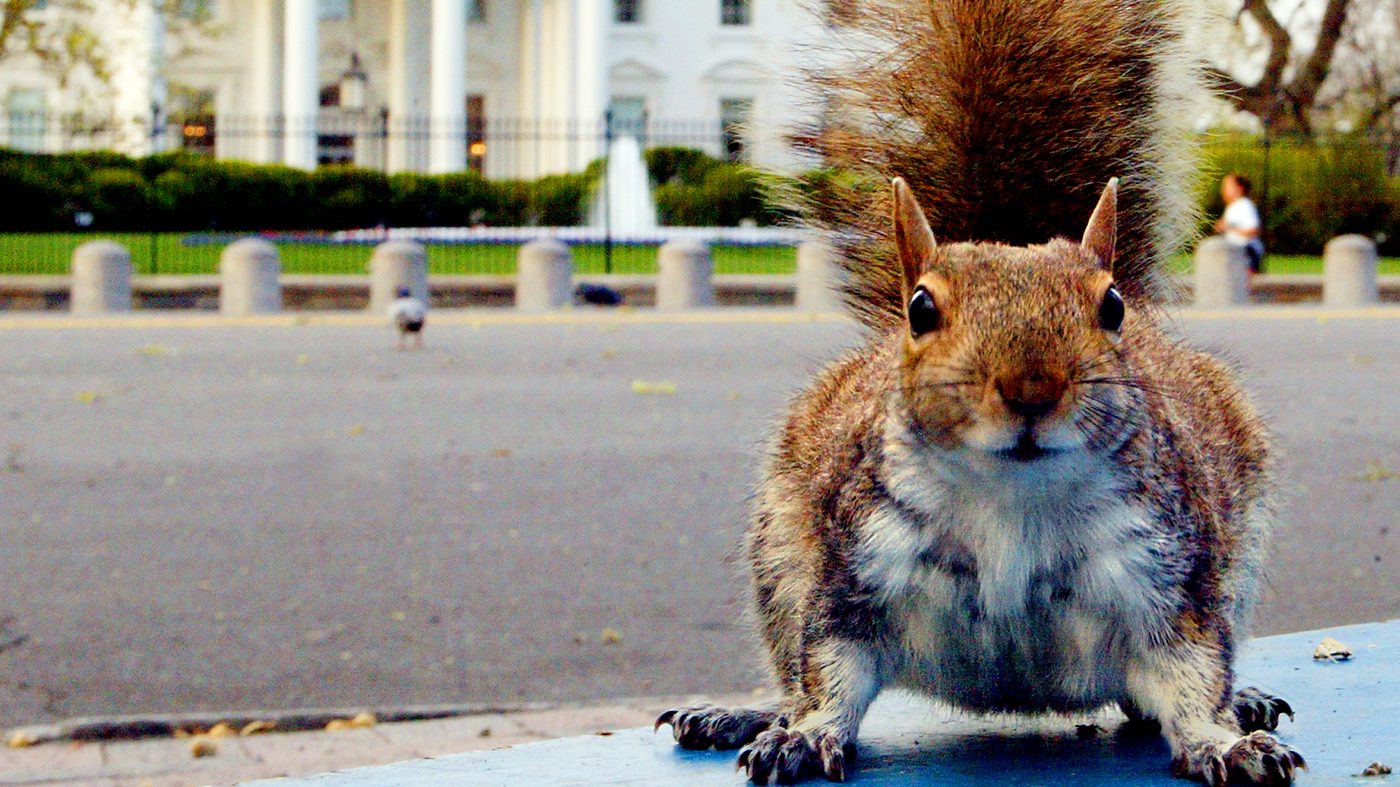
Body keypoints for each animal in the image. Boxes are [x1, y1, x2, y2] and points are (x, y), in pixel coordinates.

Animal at [656, 0, 1304, 784]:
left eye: (1112, 305)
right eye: (920, 309)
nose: (1032, 388)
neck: (1011, 500)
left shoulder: (1171, 572)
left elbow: (1194, 674)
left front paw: (1223, 739)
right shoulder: (851, 571)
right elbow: (828, 673)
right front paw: (803, 736)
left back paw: (1246, 702)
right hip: (780, 561)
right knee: (787, 667)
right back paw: (744, 712)